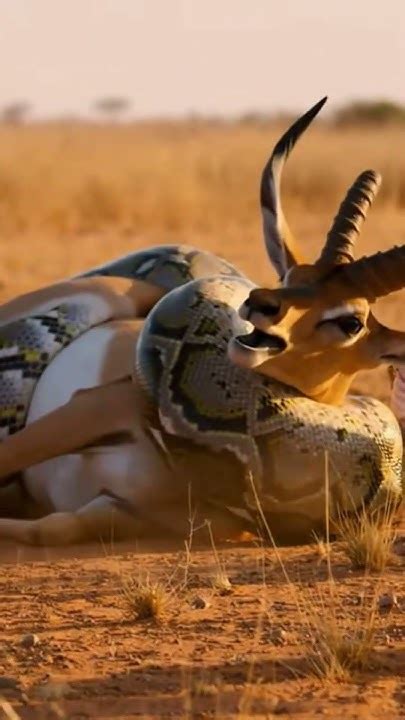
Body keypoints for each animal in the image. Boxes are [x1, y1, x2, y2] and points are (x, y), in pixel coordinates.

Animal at [0, 96, 403, 547]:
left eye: (351, 322)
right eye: (289, 278)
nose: (258, 302)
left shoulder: (132, 511)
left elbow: (55, 526)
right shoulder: (94, 404)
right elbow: (9, 460)